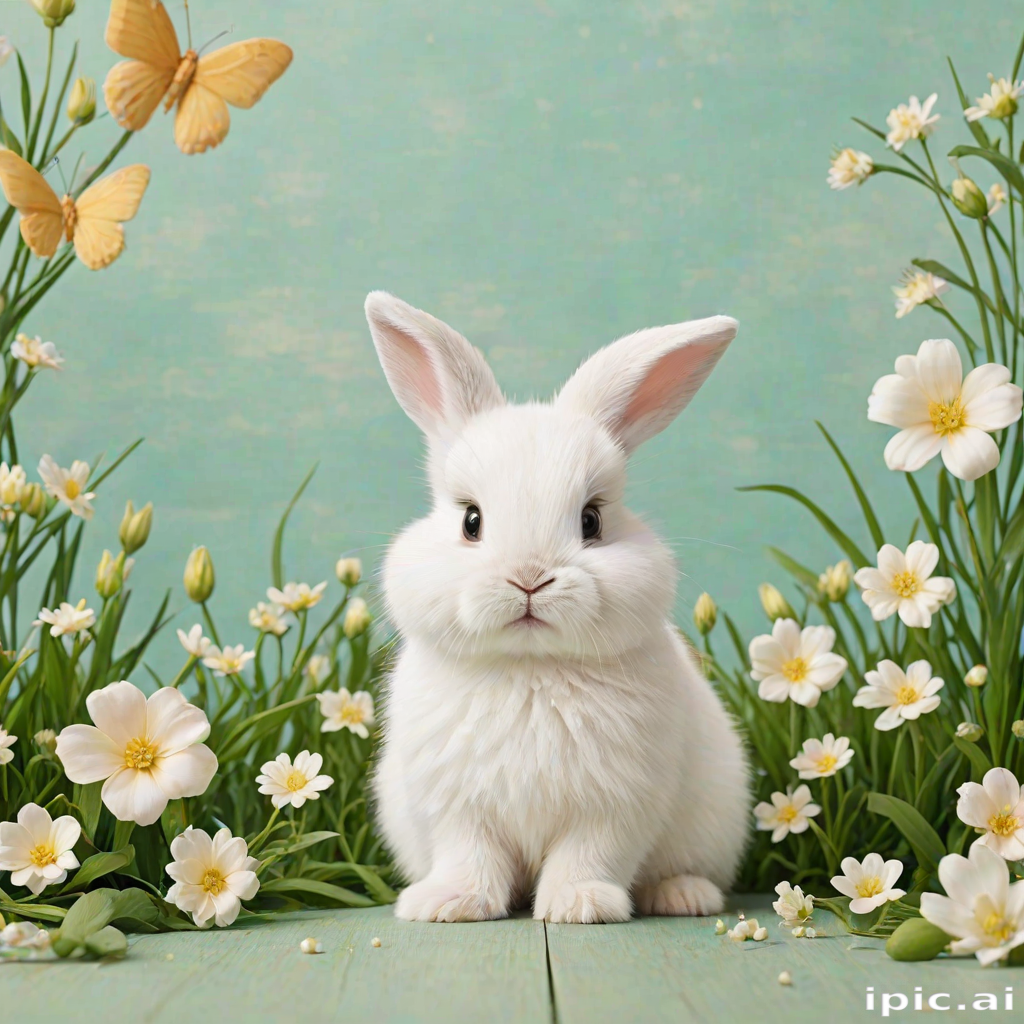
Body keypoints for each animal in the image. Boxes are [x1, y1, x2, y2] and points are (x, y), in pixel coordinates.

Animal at [365, 291, 750, 924]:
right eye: (471, 520)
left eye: (591, 520)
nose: (529, 578)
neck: (530, 666)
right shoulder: (456, 806)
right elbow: (469, 855)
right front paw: (450, 904)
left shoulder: (616, 804)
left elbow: (589, 855)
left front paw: (579, 906)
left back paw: (683, 896)